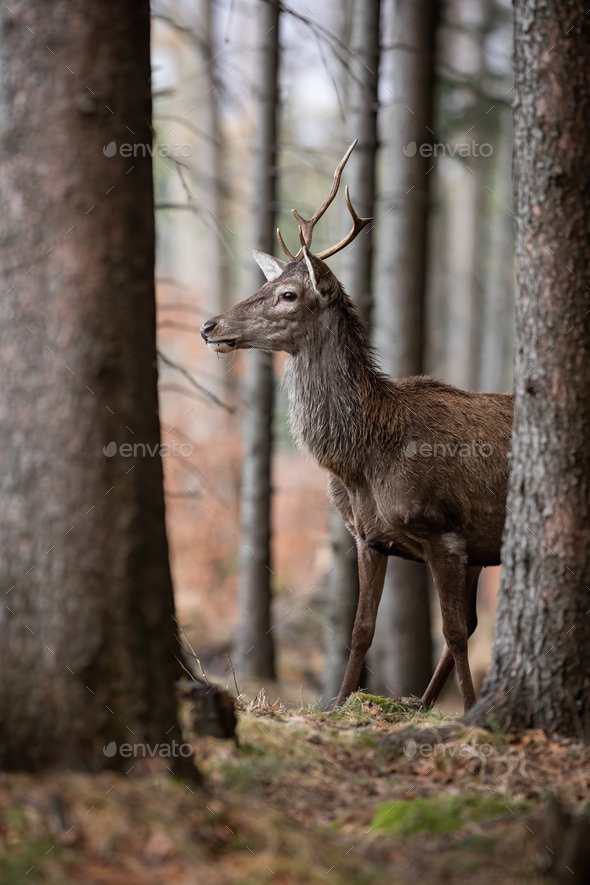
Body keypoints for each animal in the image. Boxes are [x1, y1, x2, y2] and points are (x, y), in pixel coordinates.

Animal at [200, 141, 514, 713]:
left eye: (288, 294)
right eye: (266, 281)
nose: (209, 325)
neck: (362, 457)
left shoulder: (444, 531)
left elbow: (454, 631)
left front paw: (468, 712)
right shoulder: (368, 537)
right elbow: (361, 630)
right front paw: (340, 704)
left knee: (468, 626)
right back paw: (420, 703)